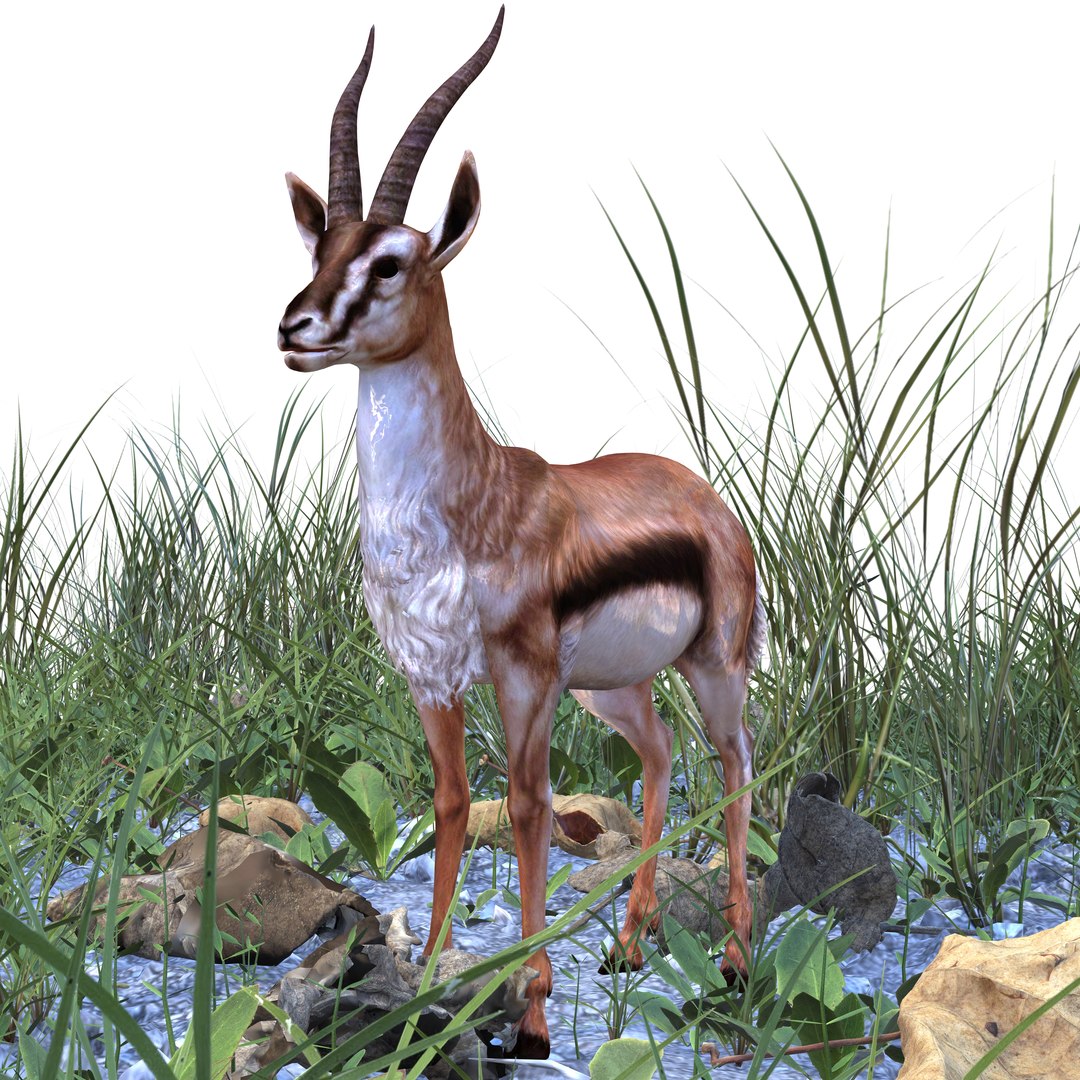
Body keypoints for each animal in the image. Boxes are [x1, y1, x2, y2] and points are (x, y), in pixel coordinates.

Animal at [277, 8, 764, 1058]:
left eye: (390, 261)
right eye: (319, 248)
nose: (295, 326)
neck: (467, 503)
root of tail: (701, 493)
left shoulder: (522, 673)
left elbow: (535, 810)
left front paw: (533, 1014)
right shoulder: (430, 674)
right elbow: (455, 804)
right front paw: (423, 985)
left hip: (711, 665)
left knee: (735, 763)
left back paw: (739, 961)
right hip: (613, 688)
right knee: (661, 757)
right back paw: (627, 944)